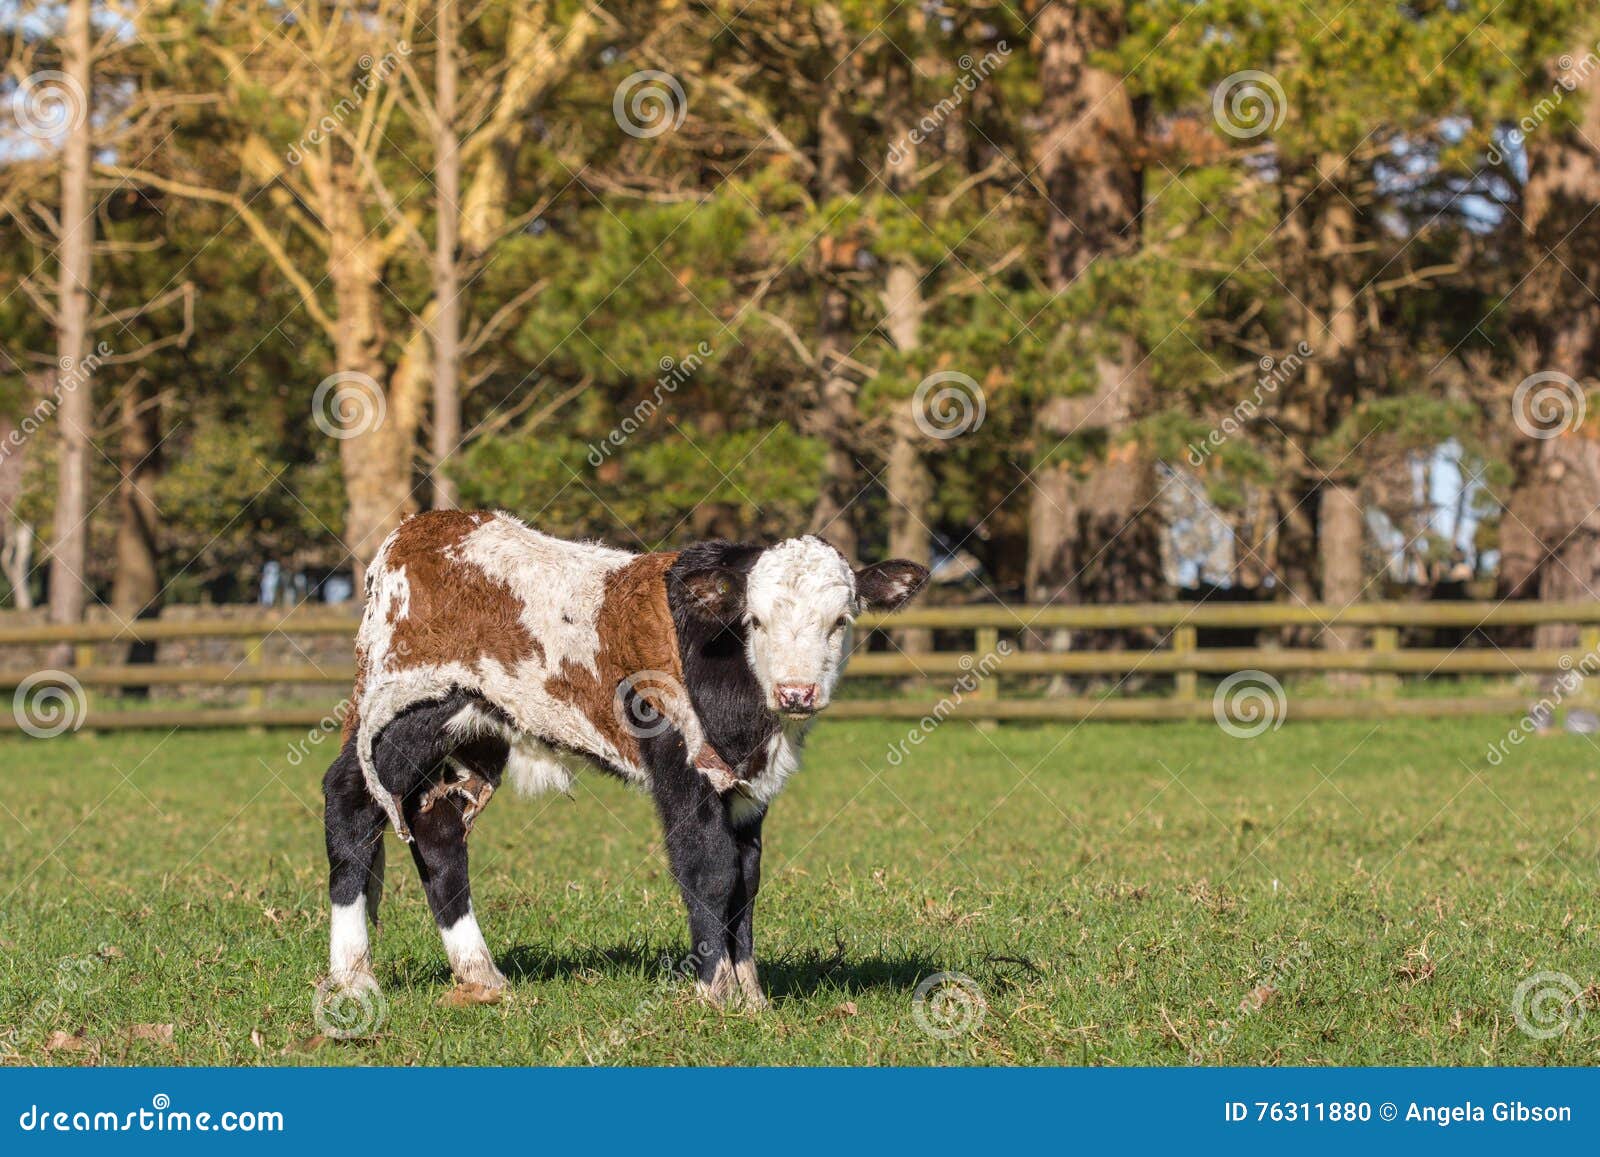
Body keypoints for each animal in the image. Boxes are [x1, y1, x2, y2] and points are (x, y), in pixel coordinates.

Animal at [323, 510, 928, 1008]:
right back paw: (353, 977)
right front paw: (716, 994)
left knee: (437, 827)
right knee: (350, 801)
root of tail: (418, 530)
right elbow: (709, 869)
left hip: (474, 731)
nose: (796, 693)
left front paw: (751, 996)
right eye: (755, 620)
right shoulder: (682, 765)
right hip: (403, 713)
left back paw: (481, 975)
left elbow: (746, 878)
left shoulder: (746, 790)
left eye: (841, 621)